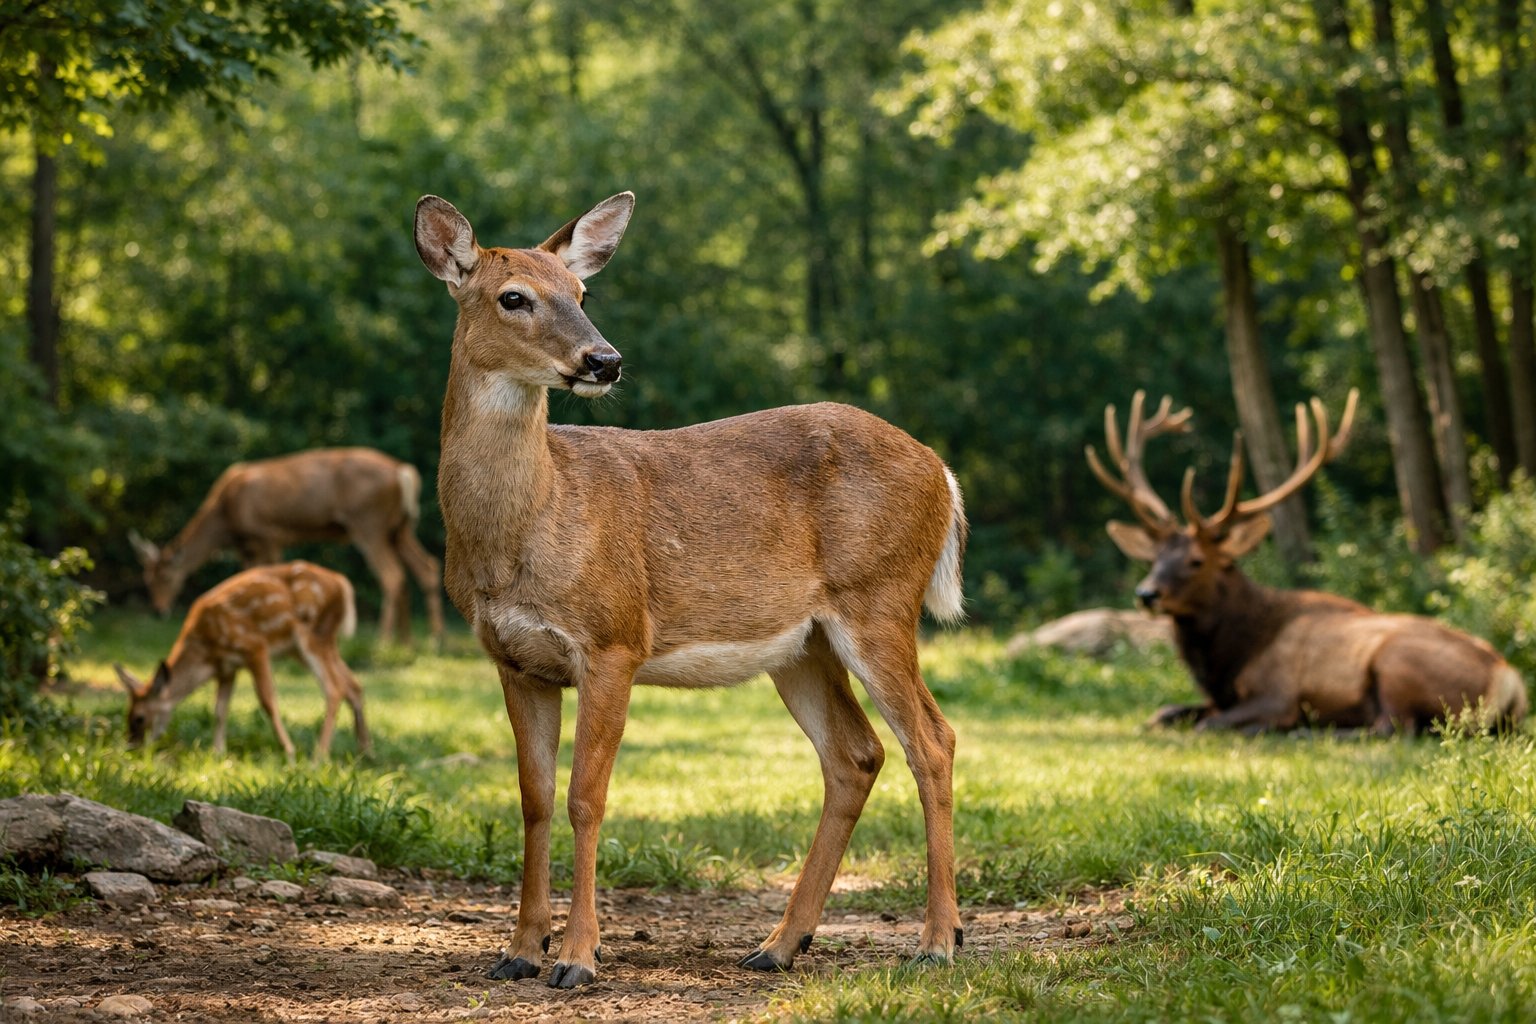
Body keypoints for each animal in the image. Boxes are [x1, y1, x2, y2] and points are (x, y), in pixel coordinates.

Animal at [114, 561, 370, 761]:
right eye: (127, 716)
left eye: (139, 718)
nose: (132, 748)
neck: (205, 652)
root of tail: (343, 585)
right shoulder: (227, 667)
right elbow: (219, 709)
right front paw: (217, 753)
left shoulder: (254, 646)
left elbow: (267, 701)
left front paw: (289, 752)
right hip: (310, 644)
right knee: (352, 684)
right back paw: (365, 752)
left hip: (313, 633)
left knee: (334, 688)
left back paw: (319, 757)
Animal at [129, 447, 445, 647]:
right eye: (146, 578)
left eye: (166, 577)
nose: (158, 610)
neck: (225, 518)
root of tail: (405, 473)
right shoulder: (247, 546)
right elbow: (247, 579)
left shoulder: (267, 534)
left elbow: (266, 577)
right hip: (399, 528)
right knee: (426, 567)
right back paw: (419, 641)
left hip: (369, 522)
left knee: (393, 575)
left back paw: (383, 640)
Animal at [413, 191, 967, 988]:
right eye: (513, 297)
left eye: (581, 293)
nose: (604, 360)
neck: (531, 521)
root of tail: (942, 472)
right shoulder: (514, 659)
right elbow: (534, 799)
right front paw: (518, 951)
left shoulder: (614, 639)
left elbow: (586, 798)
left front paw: (577, 958)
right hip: (803, 644)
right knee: (856, 755)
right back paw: (779, 944)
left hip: (881, 598)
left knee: (932, 740)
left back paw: (938, 940)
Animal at [1087, 390, 1528, 736]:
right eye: (1155, 557)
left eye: (1197, 560)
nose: (1147, 594)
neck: (1228, 660)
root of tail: (1510, 681)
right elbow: (1162, 713)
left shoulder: (1277, 693)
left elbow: (1208, 724)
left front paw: (1272, 726)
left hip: (1396, 664)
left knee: (1392, 727)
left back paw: (1309, 731)